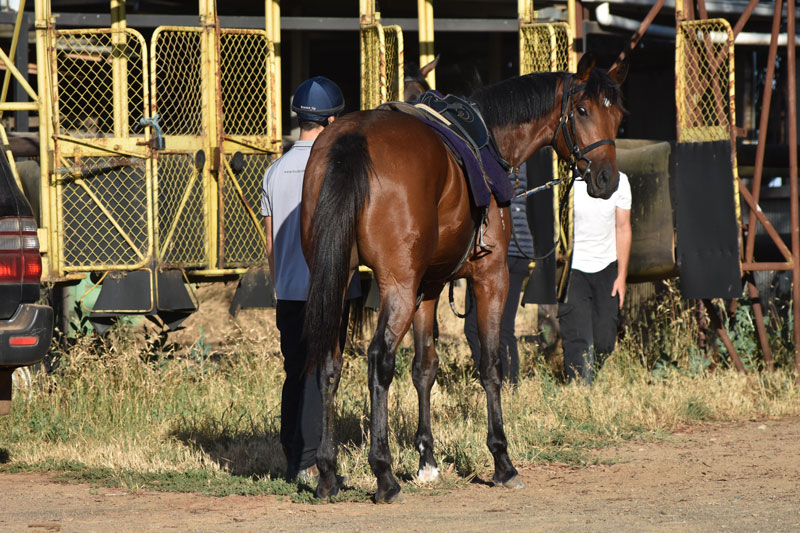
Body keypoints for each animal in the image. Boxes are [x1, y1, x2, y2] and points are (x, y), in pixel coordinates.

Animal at [301, 52, 627, 503]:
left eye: (618, 116)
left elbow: (424, 366)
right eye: (582, 110)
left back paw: (329, 473)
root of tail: (353, 139)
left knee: (329, 363)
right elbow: (490, 364)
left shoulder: (428, 287)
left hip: (339, 279)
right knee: (379, 358)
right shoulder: (490, 277)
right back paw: (383, 474)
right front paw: (502, 460)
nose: (607, 180)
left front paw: (427, 459)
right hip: (395, 286)